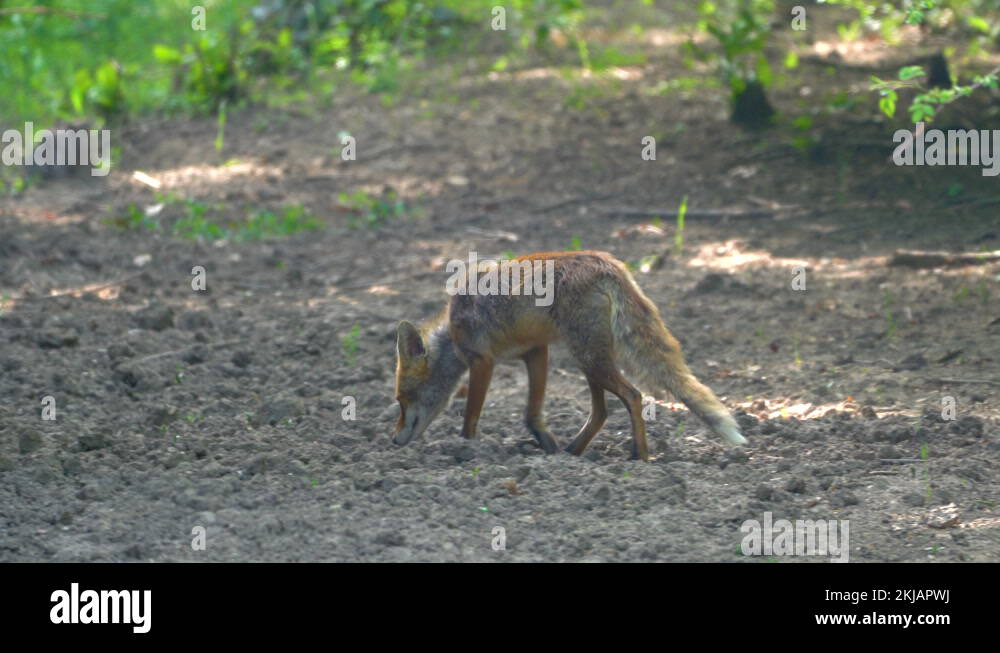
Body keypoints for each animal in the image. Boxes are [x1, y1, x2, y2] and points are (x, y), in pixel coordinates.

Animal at [393, 250, 747, 461]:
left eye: (403, 397)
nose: (394, 440)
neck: (453, 333)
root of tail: (606, 262)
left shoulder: (482, 361)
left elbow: (470, 419)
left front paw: (464, 449)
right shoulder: (536, 352)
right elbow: (532, 414)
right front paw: (545, 444)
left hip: (589, 358)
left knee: (633, 395)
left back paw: (639, 456)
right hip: (588, 360)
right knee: (602, 411)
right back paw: (573, 451)